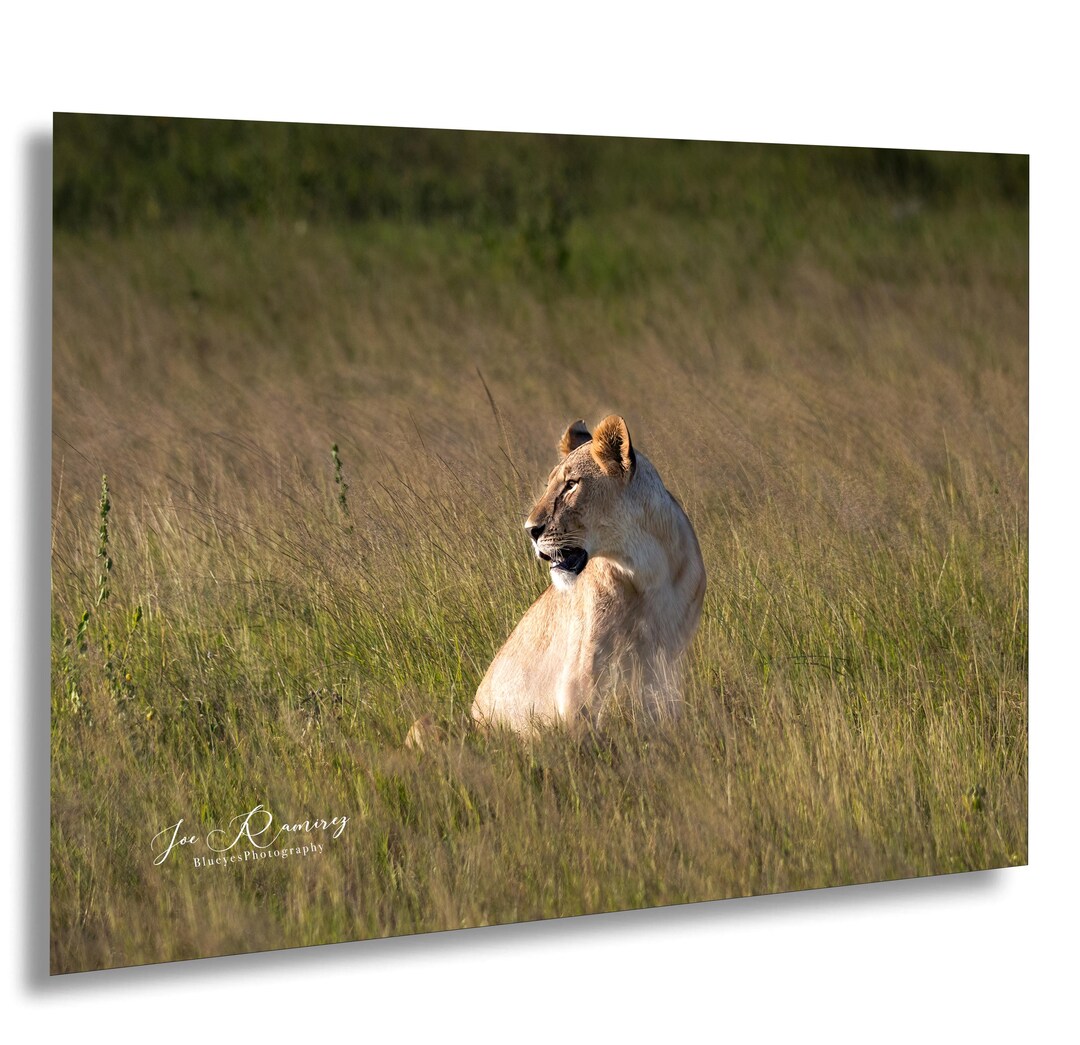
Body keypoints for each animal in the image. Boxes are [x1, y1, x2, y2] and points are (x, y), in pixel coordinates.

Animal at [470, 415, 706, 736]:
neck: (647, 567)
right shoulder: (579, 687)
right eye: (549, 485)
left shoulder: (672, 656)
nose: (530, 530)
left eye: (571, 485)